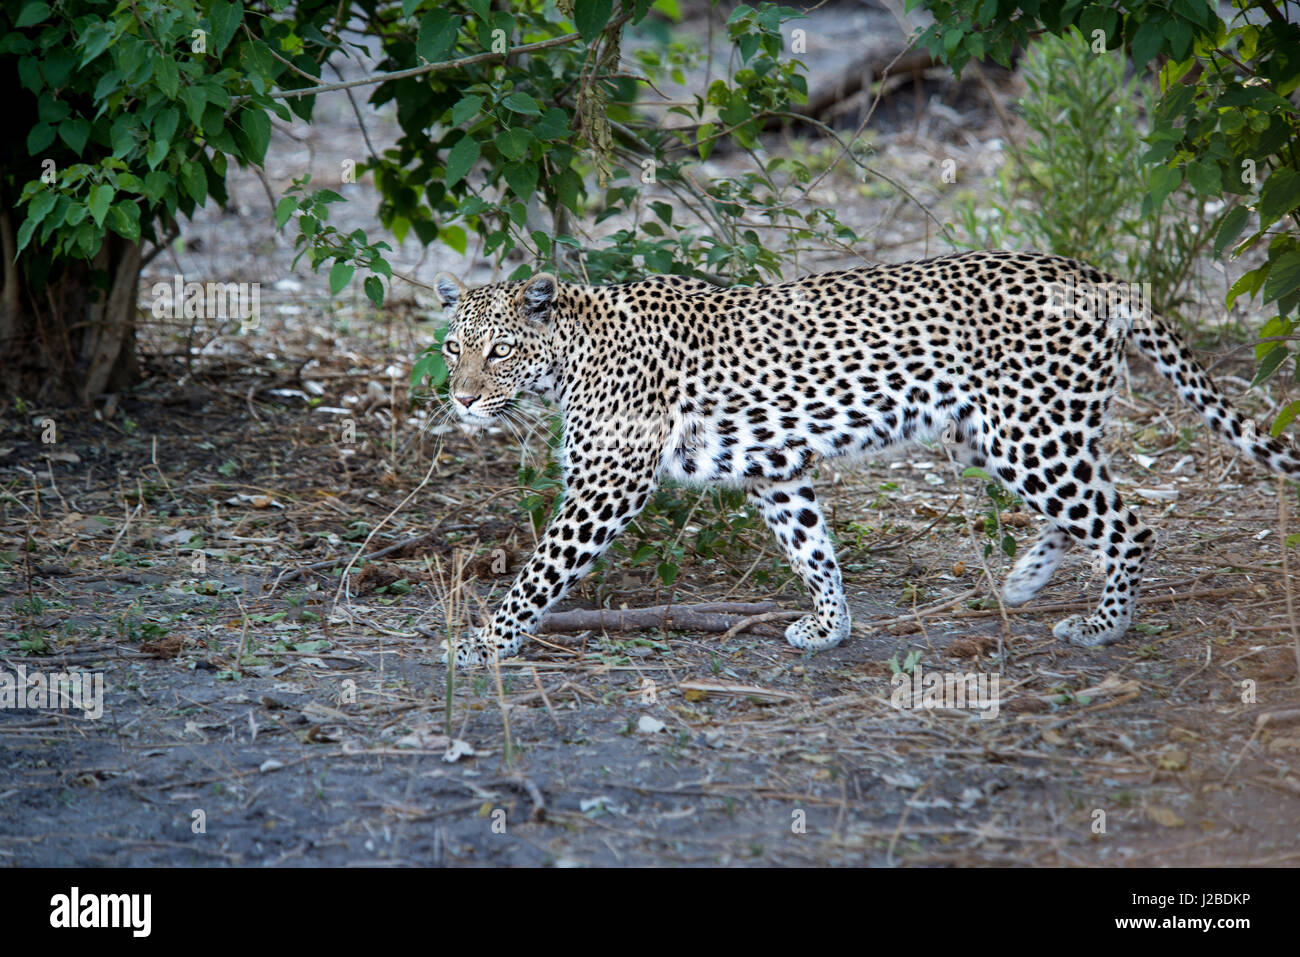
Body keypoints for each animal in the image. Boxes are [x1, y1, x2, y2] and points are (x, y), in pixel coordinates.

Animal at [432, 250, 1300, 667]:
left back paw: (1102, 627)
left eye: (499, 351)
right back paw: (1027, 578)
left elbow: (538, 574)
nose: (463, 401)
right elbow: (812, 546)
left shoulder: (605, 486)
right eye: (452, 348)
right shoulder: (774, 468)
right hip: (1009, 431)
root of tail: (1097, 275)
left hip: (1027, 432)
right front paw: (831, 625)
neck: (569, 353)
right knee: (1089, 505)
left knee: (1129, 526)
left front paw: (482, 644)